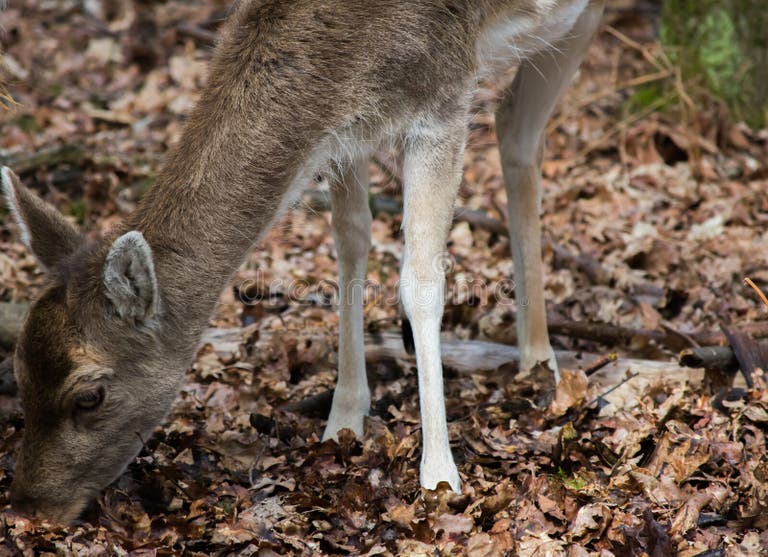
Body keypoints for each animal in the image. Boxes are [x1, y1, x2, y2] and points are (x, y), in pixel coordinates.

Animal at [2, 0, 605, 523]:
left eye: (89, 395)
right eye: (18, 371)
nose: (30, 509)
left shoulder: (443, 96)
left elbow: (421, 281)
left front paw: (439, 478)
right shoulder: (348, 127)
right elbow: (351, 239)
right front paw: (344, 421)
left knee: (521, 135)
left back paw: (541, 360)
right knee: (515, 127)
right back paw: (535, 360)